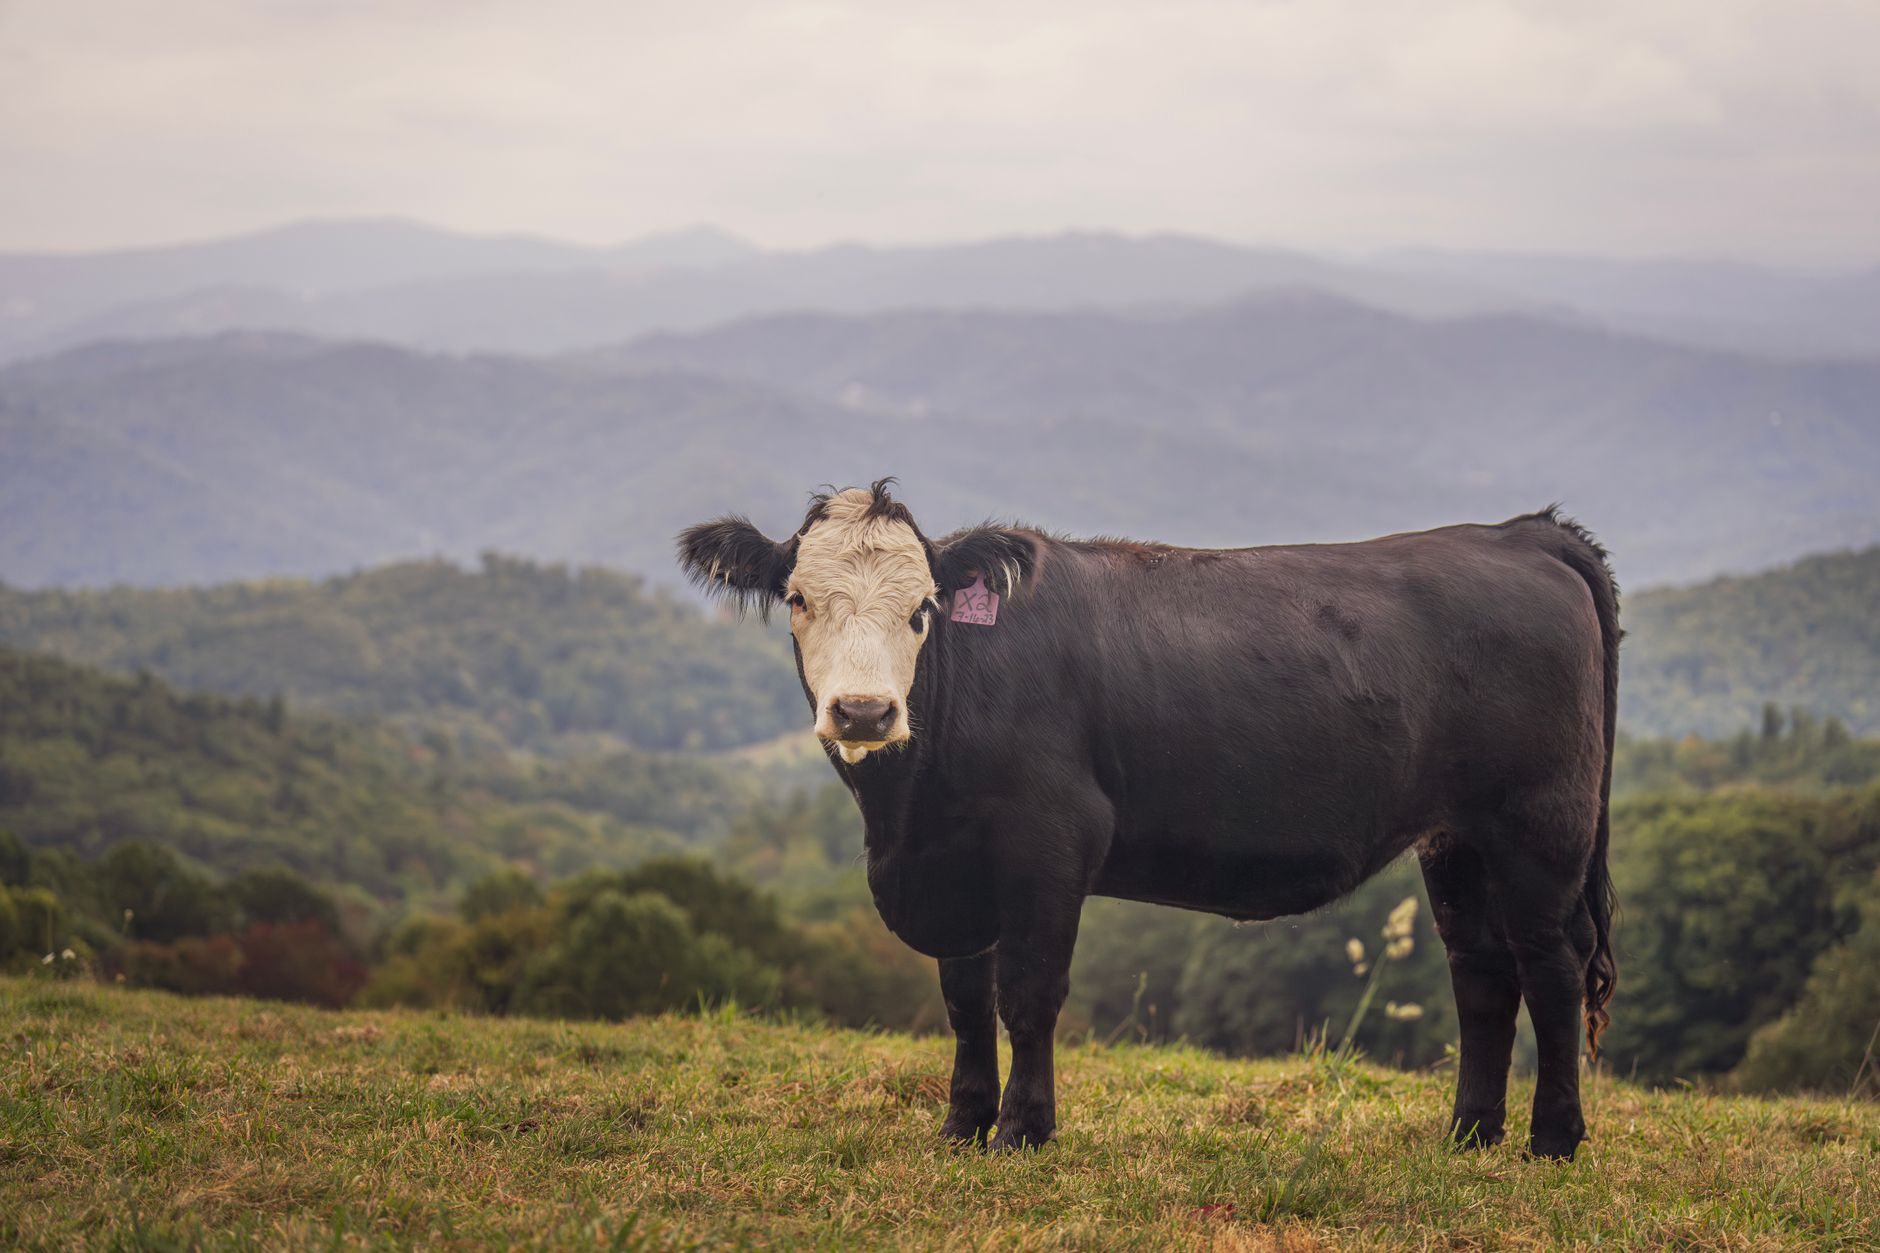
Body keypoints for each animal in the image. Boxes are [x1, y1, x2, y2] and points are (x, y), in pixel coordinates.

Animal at [678, 481, 1618, 1161]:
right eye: (798, 597)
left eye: (923, 607)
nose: (866, 711)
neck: (906, 817)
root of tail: (1516, 533)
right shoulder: (954, 867)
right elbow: (964, 1000)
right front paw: (961, 1126)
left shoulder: (1051, 840)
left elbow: (1028, 992)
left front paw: (1022, 1131)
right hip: (1458, 839)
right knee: (1482, 971)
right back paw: (1469, 1134)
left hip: (1541, 826)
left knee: (1552, 966)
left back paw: (1552, 1140)